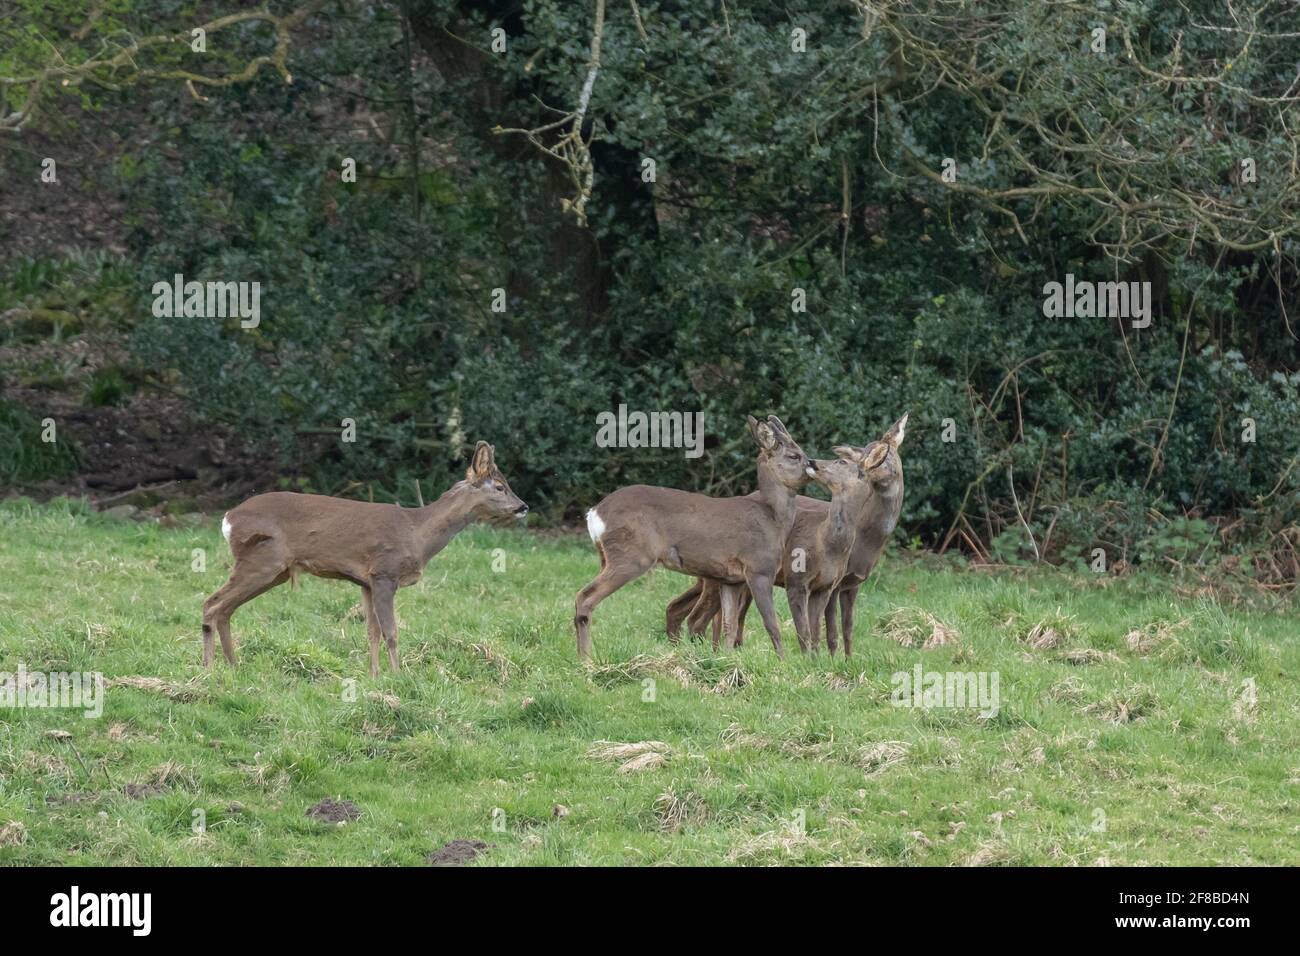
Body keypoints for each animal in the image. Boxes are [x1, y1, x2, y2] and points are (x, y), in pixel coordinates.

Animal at [202, 441, 528, 677]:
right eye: (500, 486)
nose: (523, 506)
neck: (418, 533)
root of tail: (228, 518)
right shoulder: (385, 573)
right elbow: (391, 632)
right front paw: (400, 677)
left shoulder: (366, 582)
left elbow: (371, 632)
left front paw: (375, 676)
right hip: (262, 559)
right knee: (212, 603)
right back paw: (208, 668)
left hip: (274, 570)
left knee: (225, 608)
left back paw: (232, 666)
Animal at [575, 415, 815, 659]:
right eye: (794, 455)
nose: (813, 464)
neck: (772, 518)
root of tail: (593, 513)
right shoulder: (759, 569)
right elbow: (771, 624)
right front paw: (783, 661)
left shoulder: (731, 580)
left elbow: (729, 625)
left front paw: (726, 659)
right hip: (631, 555)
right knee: (585, 597)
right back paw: (587, 660)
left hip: (607, 557)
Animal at [666, 413, 906, 656]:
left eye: (892, 457)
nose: (813, 462)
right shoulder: (802, 581)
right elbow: (820, 633)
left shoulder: (847, 584)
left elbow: (843, 631)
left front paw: (840, 661)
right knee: (700, 618)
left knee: (686, 610)